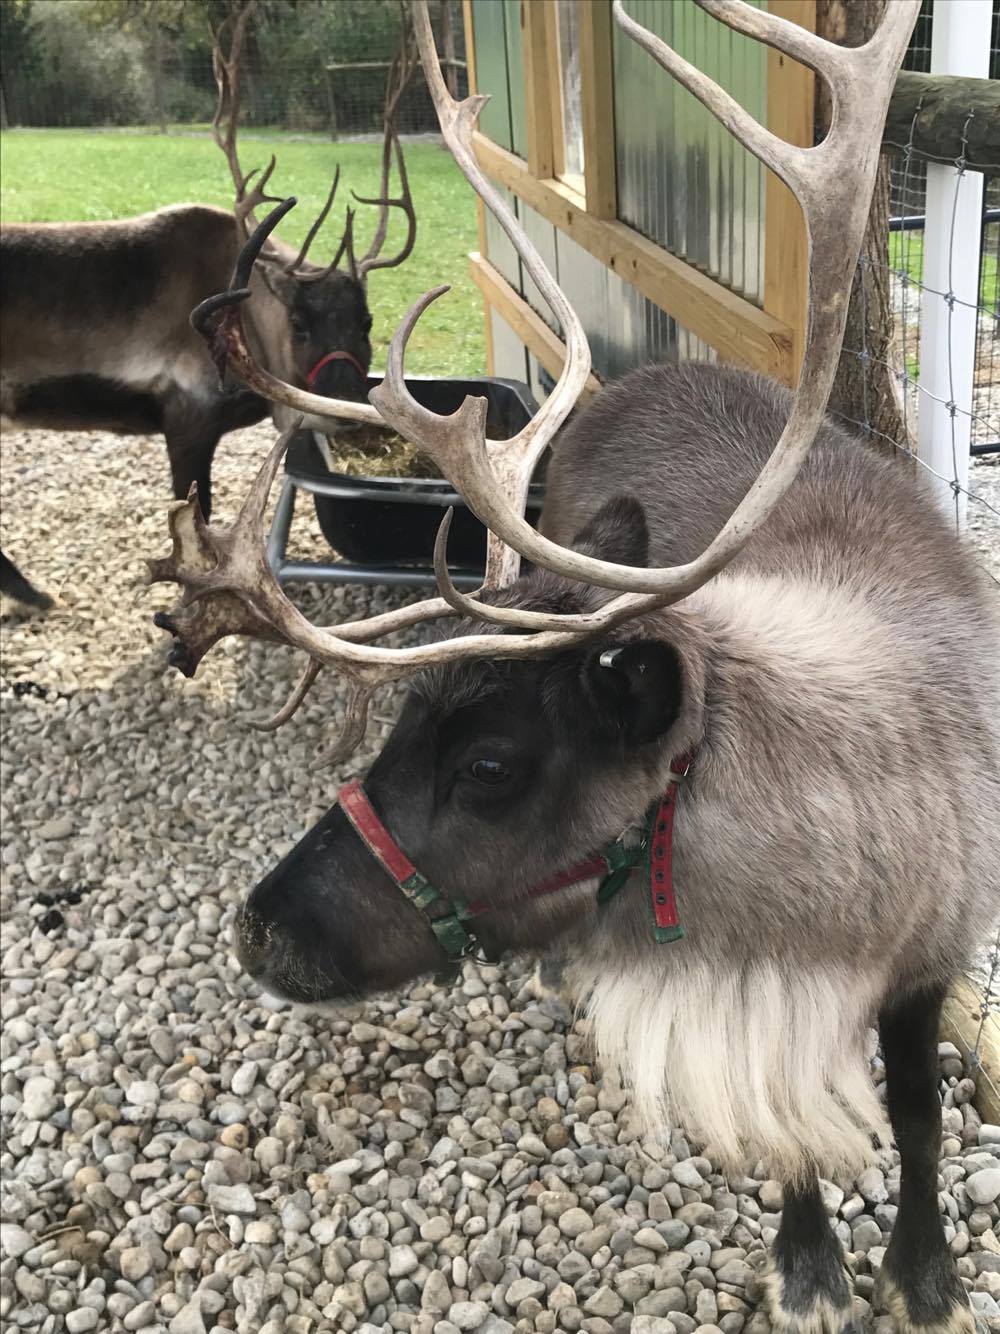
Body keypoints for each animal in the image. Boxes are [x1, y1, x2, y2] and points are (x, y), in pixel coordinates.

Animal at [148, 2, 999, 1330]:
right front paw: (809, 1261)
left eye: (492, 764)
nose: (256, 928)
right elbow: (785, 1133)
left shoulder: (936, 948)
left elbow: (911, 1111)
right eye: (401, 718)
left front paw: (924, 1273)